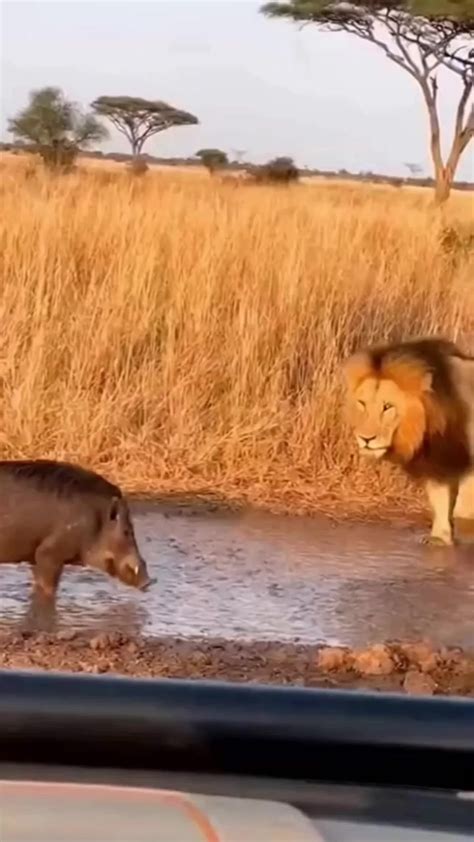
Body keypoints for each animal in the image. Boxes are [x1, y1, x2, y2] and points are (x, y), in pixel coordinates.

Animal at [343, 338, 474, 545]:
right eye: (362, 403)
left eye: (387, 406)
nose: (365, 438)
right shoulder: (439, 467)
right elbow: (442, 509)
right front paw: (440, 539)